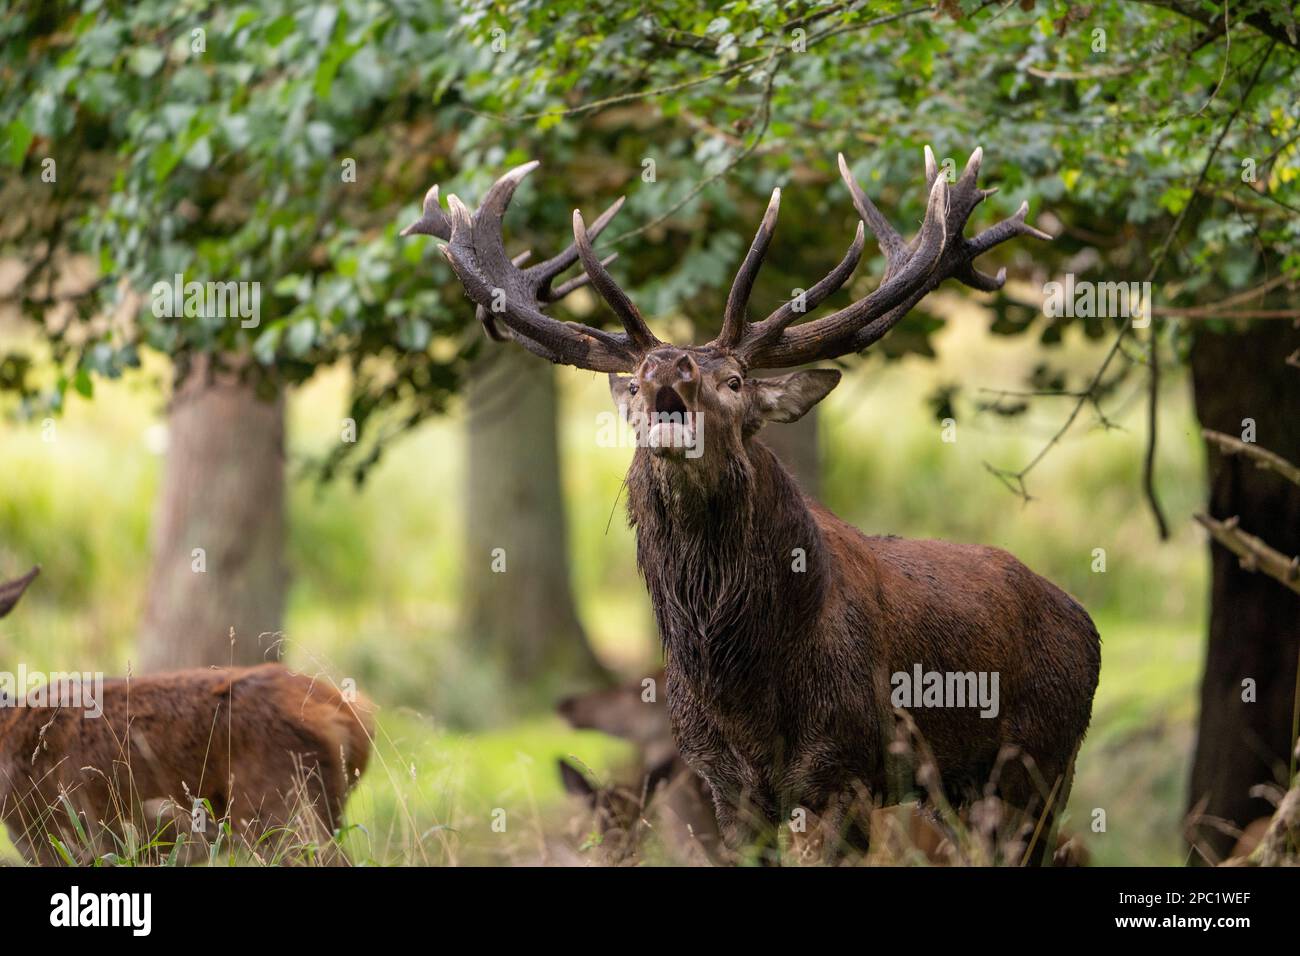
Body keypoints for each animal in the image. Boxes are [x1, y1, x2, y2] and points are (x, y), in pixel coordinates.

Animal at [403, 146, 1101, 864]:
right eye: (640, 382)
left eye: (735, 381)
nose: (668, 368)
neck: (740, 683)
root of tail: (1086, 623)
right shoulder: (724, 785)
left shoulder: (846, 771)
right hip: (959, 791)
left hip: (1040, 771)